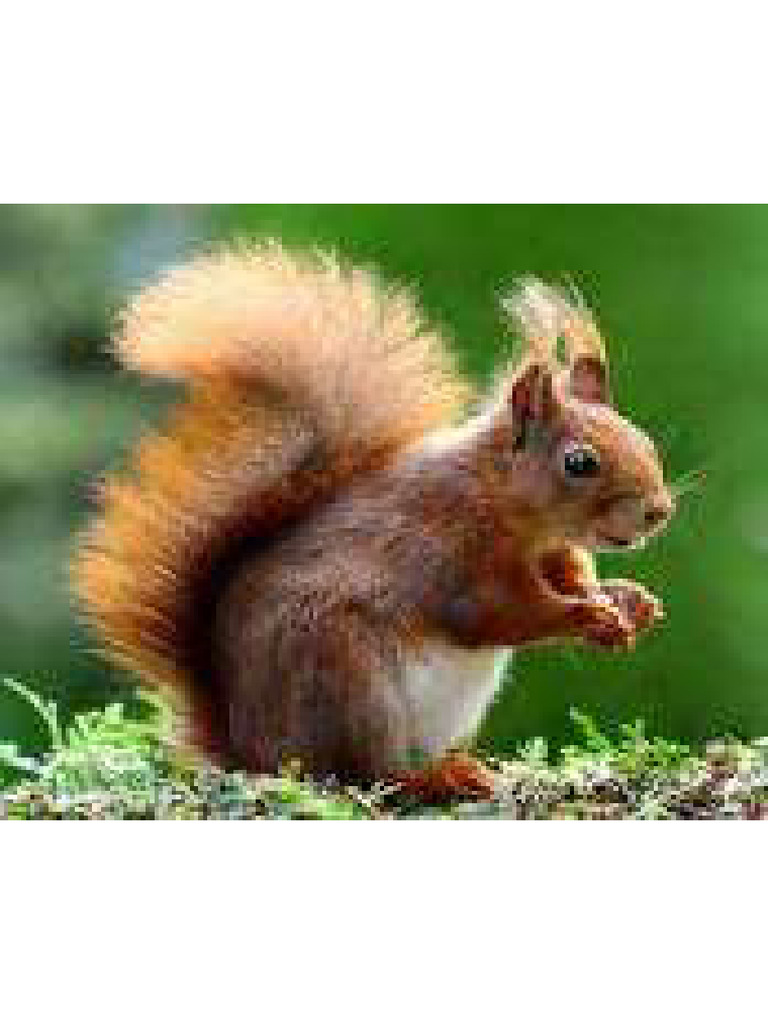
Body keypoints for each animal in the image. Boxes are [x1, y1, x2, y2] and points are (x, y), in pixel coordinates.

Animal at [74, 241, 674, 802]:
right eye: (579, 463)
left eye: (644, 440)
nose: (659, 511)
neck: (504, 503)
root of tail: (252, 750)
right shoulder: (450, 550)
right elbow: (496, 613)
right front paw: (588, 615)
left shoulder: (551, 551)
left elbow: (571, 577)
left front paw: (628, 601)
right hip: (348, 681)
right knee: (362, 774)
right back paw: (437, 778)